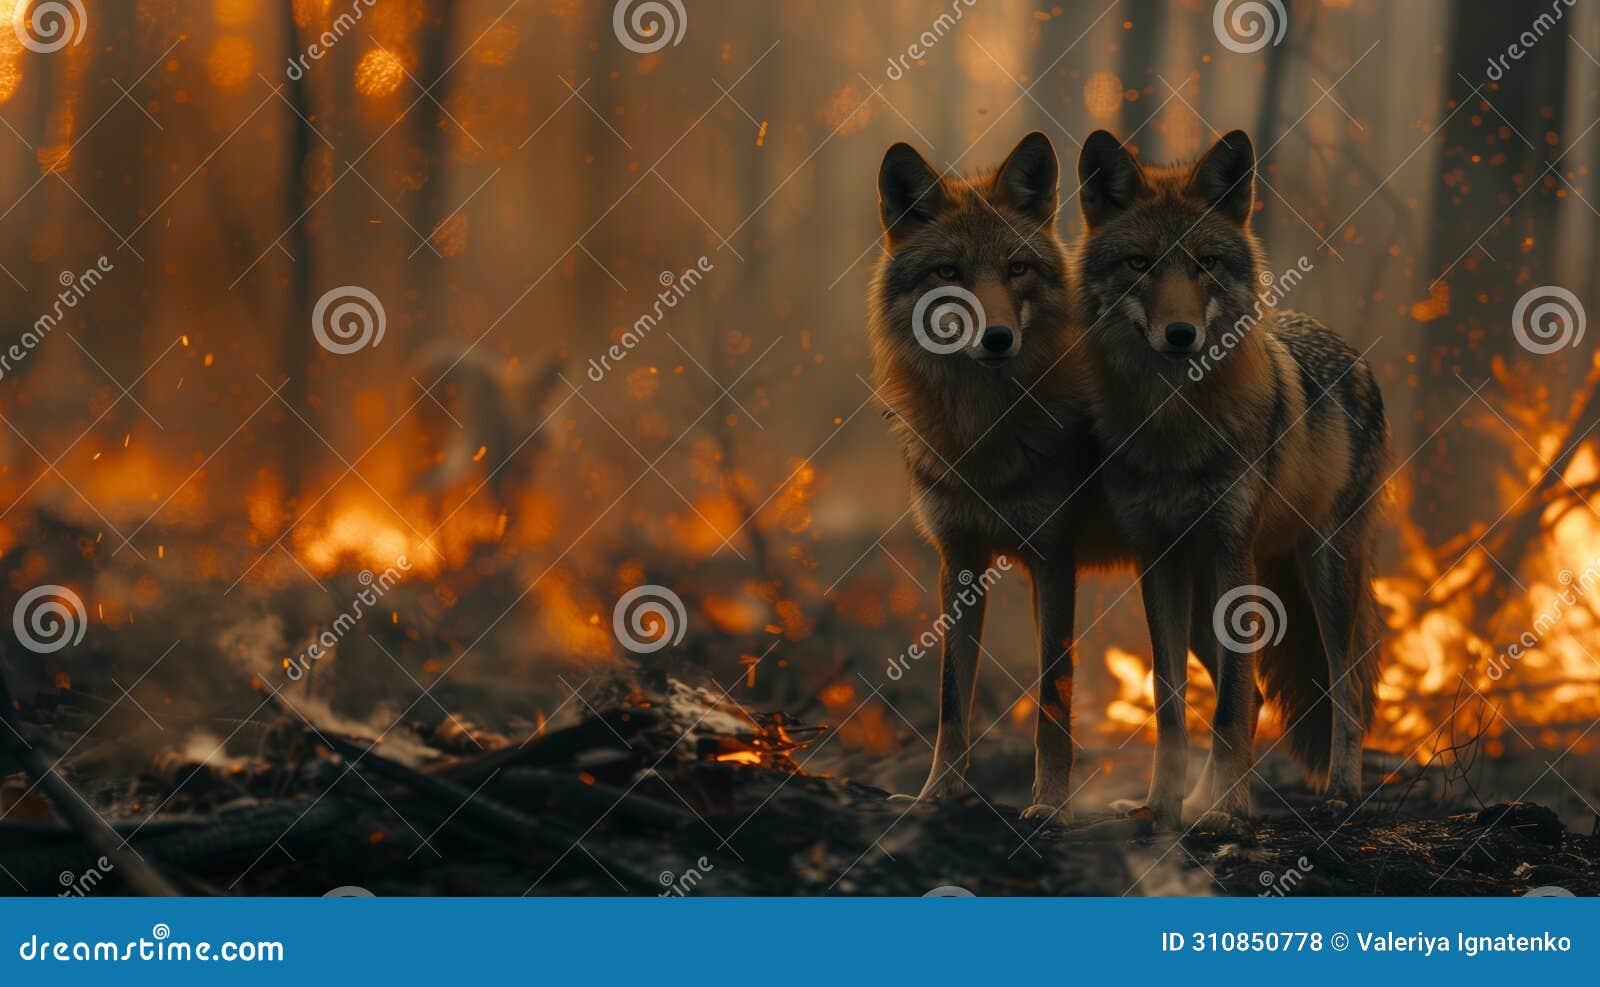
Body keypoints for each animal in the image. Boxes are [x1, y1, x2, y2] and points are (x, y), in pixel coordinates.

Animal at [869, 132, 1145, 824]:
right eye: (948, 273)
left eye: (1017, 268)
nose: (996, 338)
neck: (981, 437)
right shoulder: (959, 562)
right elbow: (950, 699)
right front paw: (937, 794)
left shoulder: (1054, 561)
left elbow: (1053, 700)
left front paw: (1049, 806)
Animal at [1071, 129, 1388, 830]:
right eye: (1139, 264)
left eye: (1206, 263)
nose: (1180, 333)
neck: (1174, 430)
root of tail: (1352, 353)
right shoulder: (1157, 560)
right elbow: (1172, 703)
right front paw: (1163, 806)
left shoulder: (1229, 551)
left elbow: (1231, 706)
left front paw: (1228, 813)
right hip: (1205, 605)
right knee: (1254, 696)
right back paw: (1199, 799)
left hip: (1323, 573)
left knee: (1344, 689)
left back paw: (1341, 793)